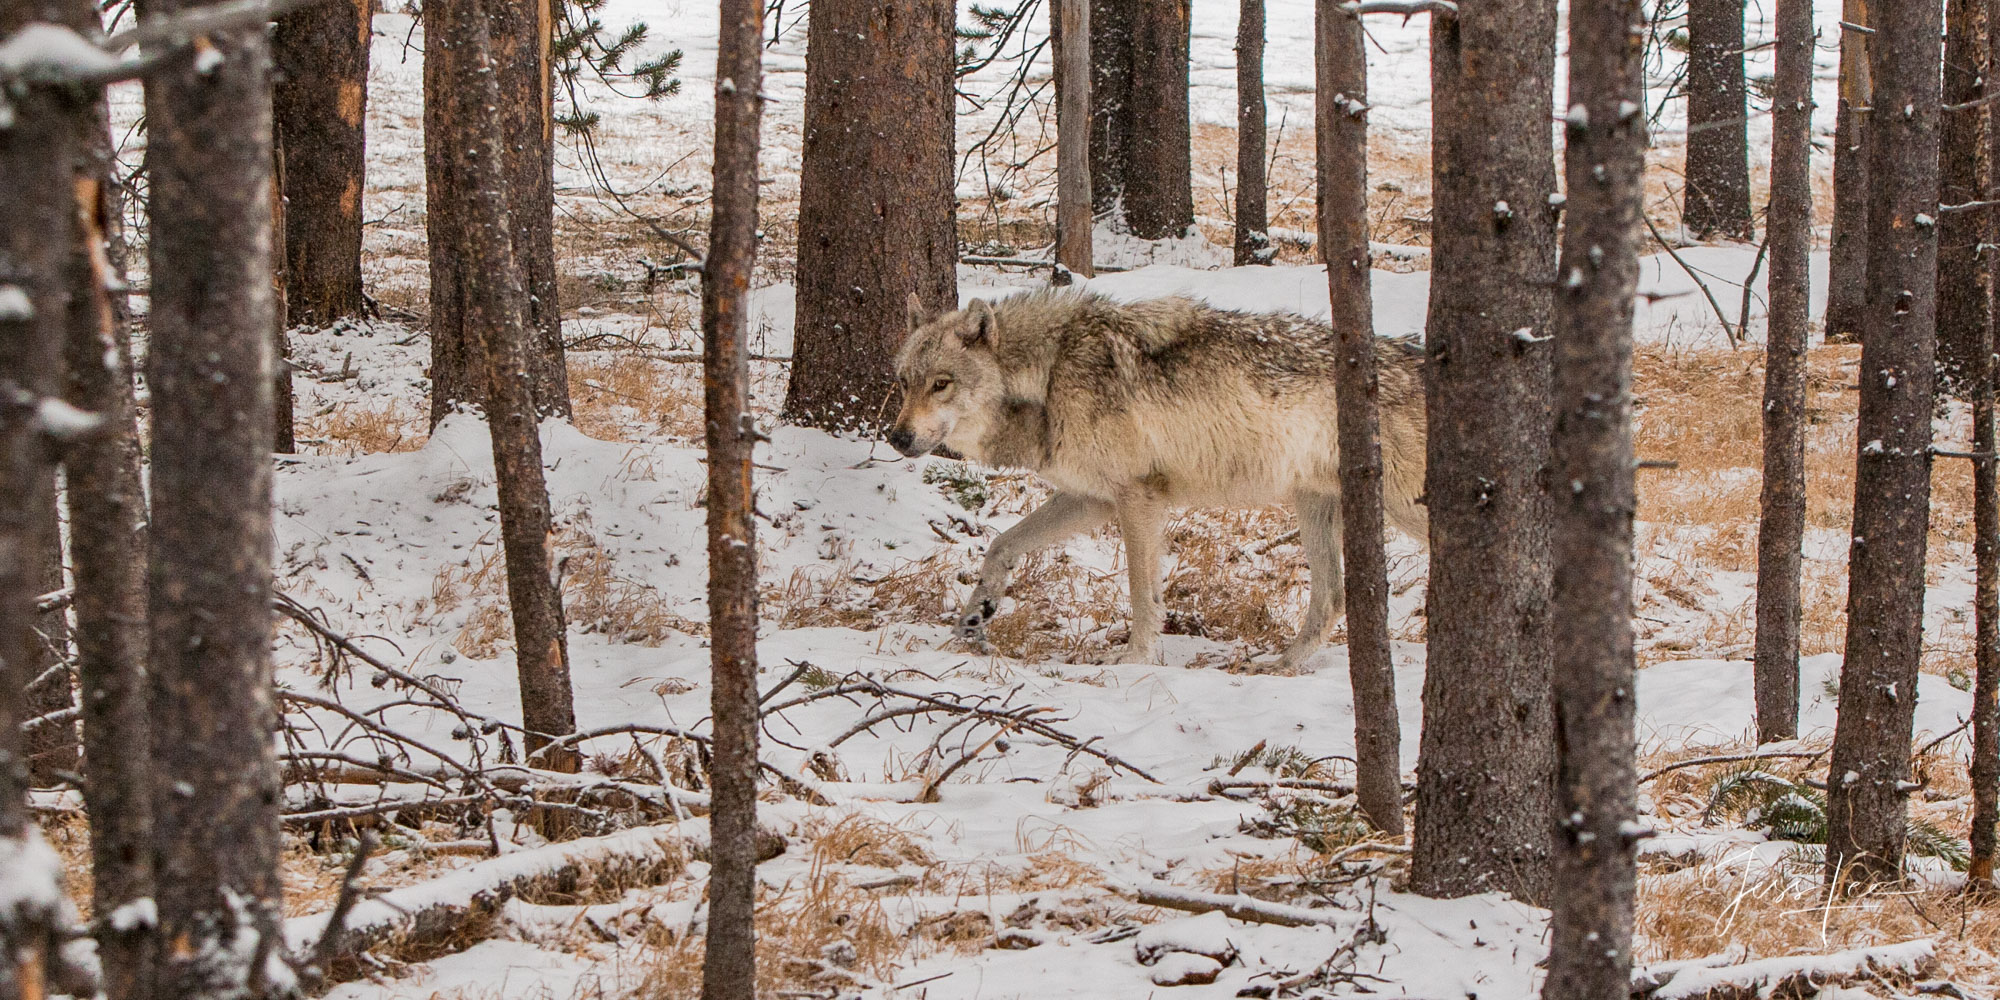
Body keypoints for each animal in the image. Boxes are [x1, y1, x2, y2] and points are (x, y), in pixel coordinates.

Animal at [888, 287, 1428, 671]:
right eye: (904, 382)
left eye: (941, 384)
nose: (897, 437)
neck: (1051, 375)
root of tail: (1415, 356)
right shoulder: (1093, 499)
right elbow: (1001, 544)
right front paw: (975, 616)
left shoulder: (1137, 497)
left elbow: (1141, 593)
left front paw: (1132, 660)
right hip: (1313, 505)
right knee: (1332, 598)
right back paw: (1280, 666)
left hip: (1402, 507)